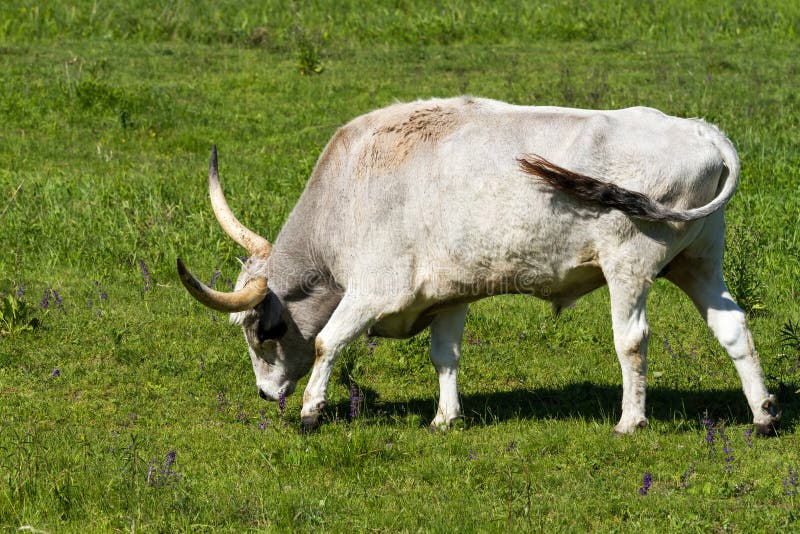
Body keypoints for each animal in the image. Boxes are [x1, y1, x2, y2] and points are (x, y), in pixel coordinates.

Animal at [177, 97, 780, 435]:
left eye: (265, 331)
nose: (265, 393)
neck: (348, 192)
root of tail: (700, 129)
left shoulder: (374, 290)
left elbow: (329, 341)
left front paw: (310, 412)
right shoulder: (447, 294)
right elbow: (444, 355)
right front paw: (445, 418)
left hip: (629, 266)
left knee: (632, 340)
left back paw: (630, 421)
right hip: (700, 264)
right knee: (733, 326)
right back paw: (764, 416)